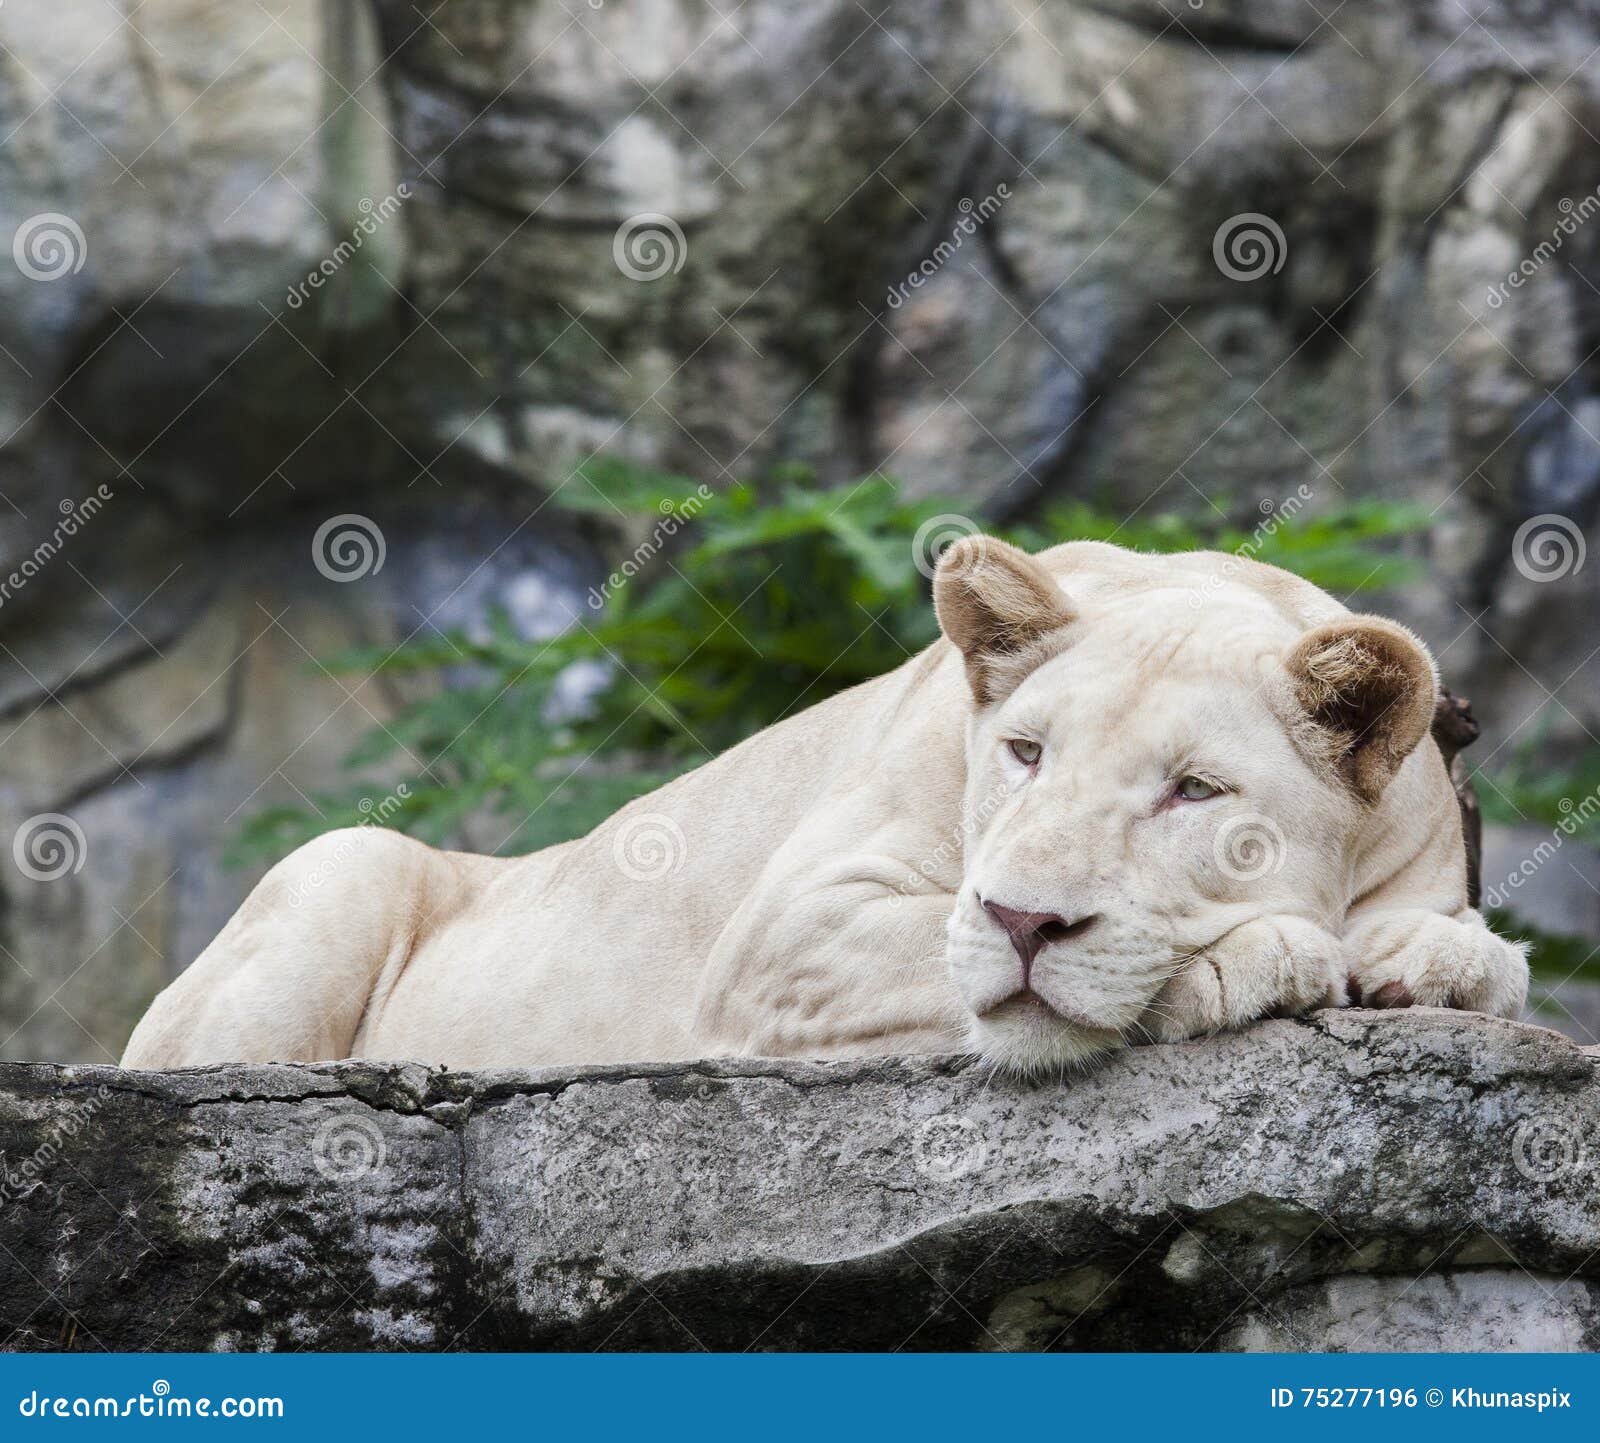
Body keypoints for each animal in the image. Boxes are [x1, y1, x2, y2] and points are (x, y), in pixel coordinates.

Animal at [122, 537, 1528, 1076]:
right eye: (1024, 754)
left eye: (1195, 790)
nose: (1025, 920)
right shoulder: (785, 941)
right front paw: (1275, 955)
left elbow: (1488, 959)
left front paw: (1425, 958)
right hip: (339, 864)